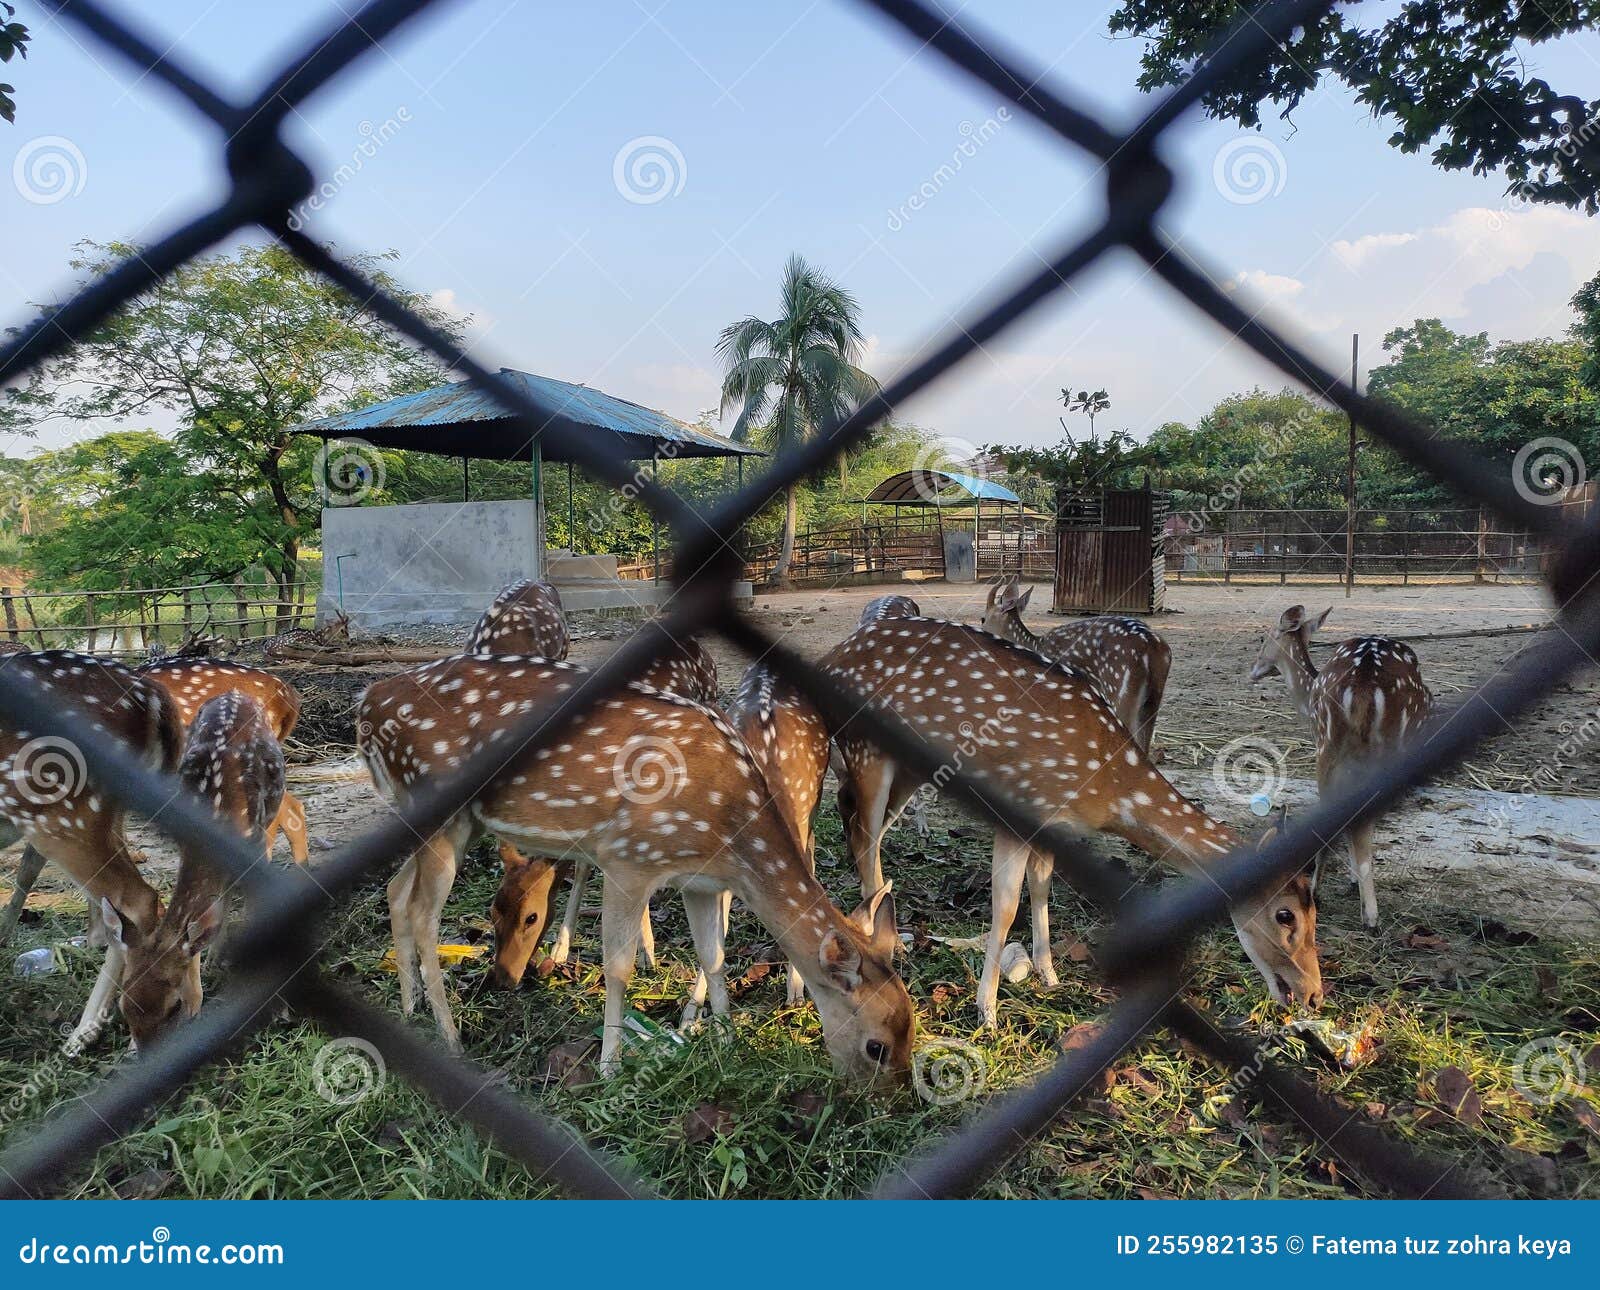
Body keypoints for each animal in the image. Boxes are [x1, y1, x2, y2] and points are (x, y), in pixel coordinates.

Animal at [103, 692, 285, 1049]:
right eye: (122, 1006)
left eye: (173, 1006)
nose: (146, 1054)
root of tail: (235, 692)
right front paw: (212, 960)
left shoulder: (254, 846)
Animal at [358, 655, 913, 1080]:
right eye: (876, 1046)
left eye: (914, 1027)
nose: (888, 1102)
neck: (729, 822)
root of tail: (367, 703)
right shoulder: (628, 857)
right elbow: (619, 967)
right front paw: (609, 1066)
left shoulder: (699, 880)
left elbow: (714, 956)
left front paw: (726, 1041)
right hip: (438, 808)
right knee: (424, 913)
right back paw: (450, 1038)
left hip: (446, 821)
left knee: (396, 890)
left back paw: (409, 1008)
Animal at [822, 617, 1321, 1028]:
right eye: (1285, 915)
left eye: (1315, 911)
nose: (1314, 994)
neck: (1108, 792)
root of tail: (834, 654)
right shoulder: (1020, 806)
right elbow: (1006, 906)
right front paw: (988, 1011)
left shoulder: (1052, 824)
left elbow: (1041, 887)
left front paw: (1049, 975)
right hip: (865, 747)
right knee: (863, 838)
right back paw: (882, 943)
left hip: (905, 769)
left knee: (866, 832)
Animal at [1249, 606, 1433, 929]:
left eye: (1264, 636)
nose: (1253, 670)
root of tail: (1364, 685)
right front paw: (1353, 879)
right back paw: (1367, 910)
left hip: (1330, 746)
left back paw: (1340, 901)